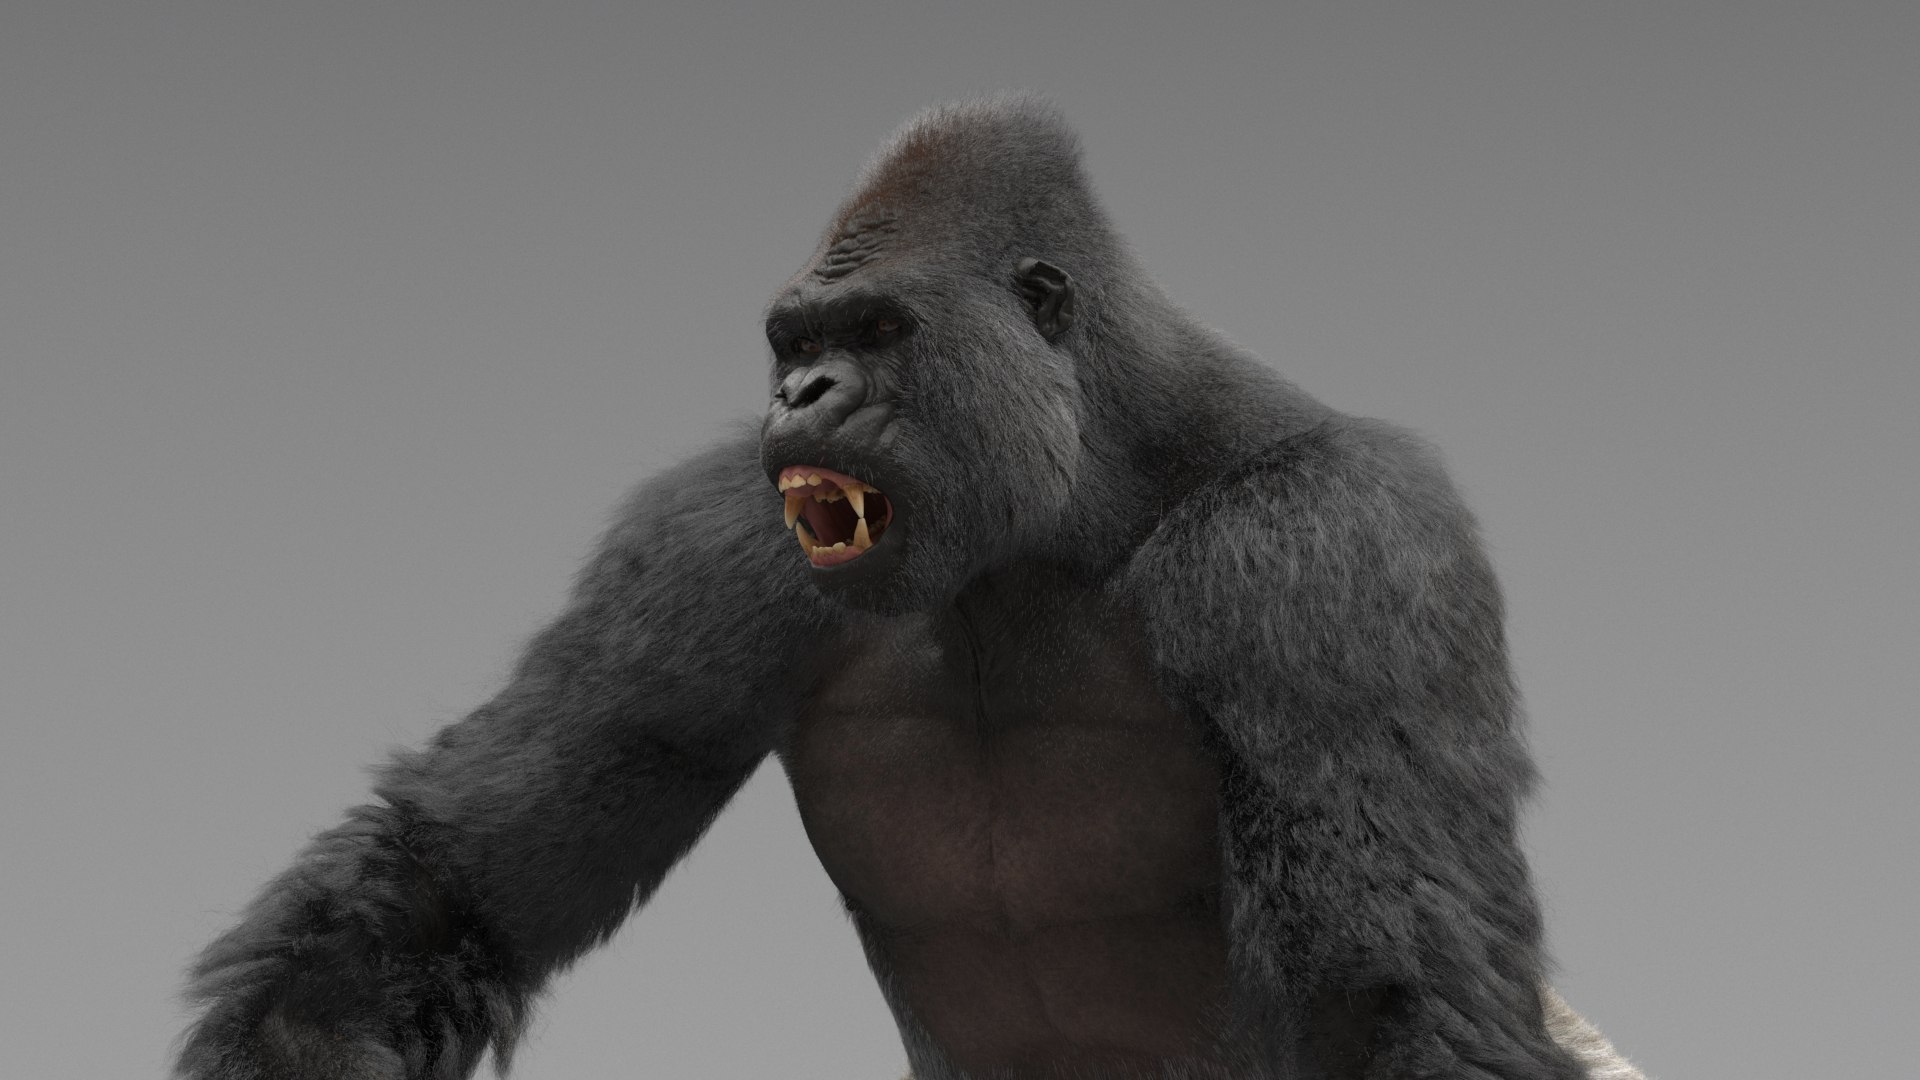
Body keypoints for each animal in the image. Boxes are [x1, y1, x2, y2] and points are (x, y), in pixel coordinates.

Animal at [175, 96, 1644, 1079]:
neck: (1082, 482)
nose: (805, 394)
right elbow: (446, 888)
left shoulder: (1331, 544)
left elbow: (1390, 989)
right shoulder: (708, 539)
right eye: (794, 342)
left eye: (876, 331)